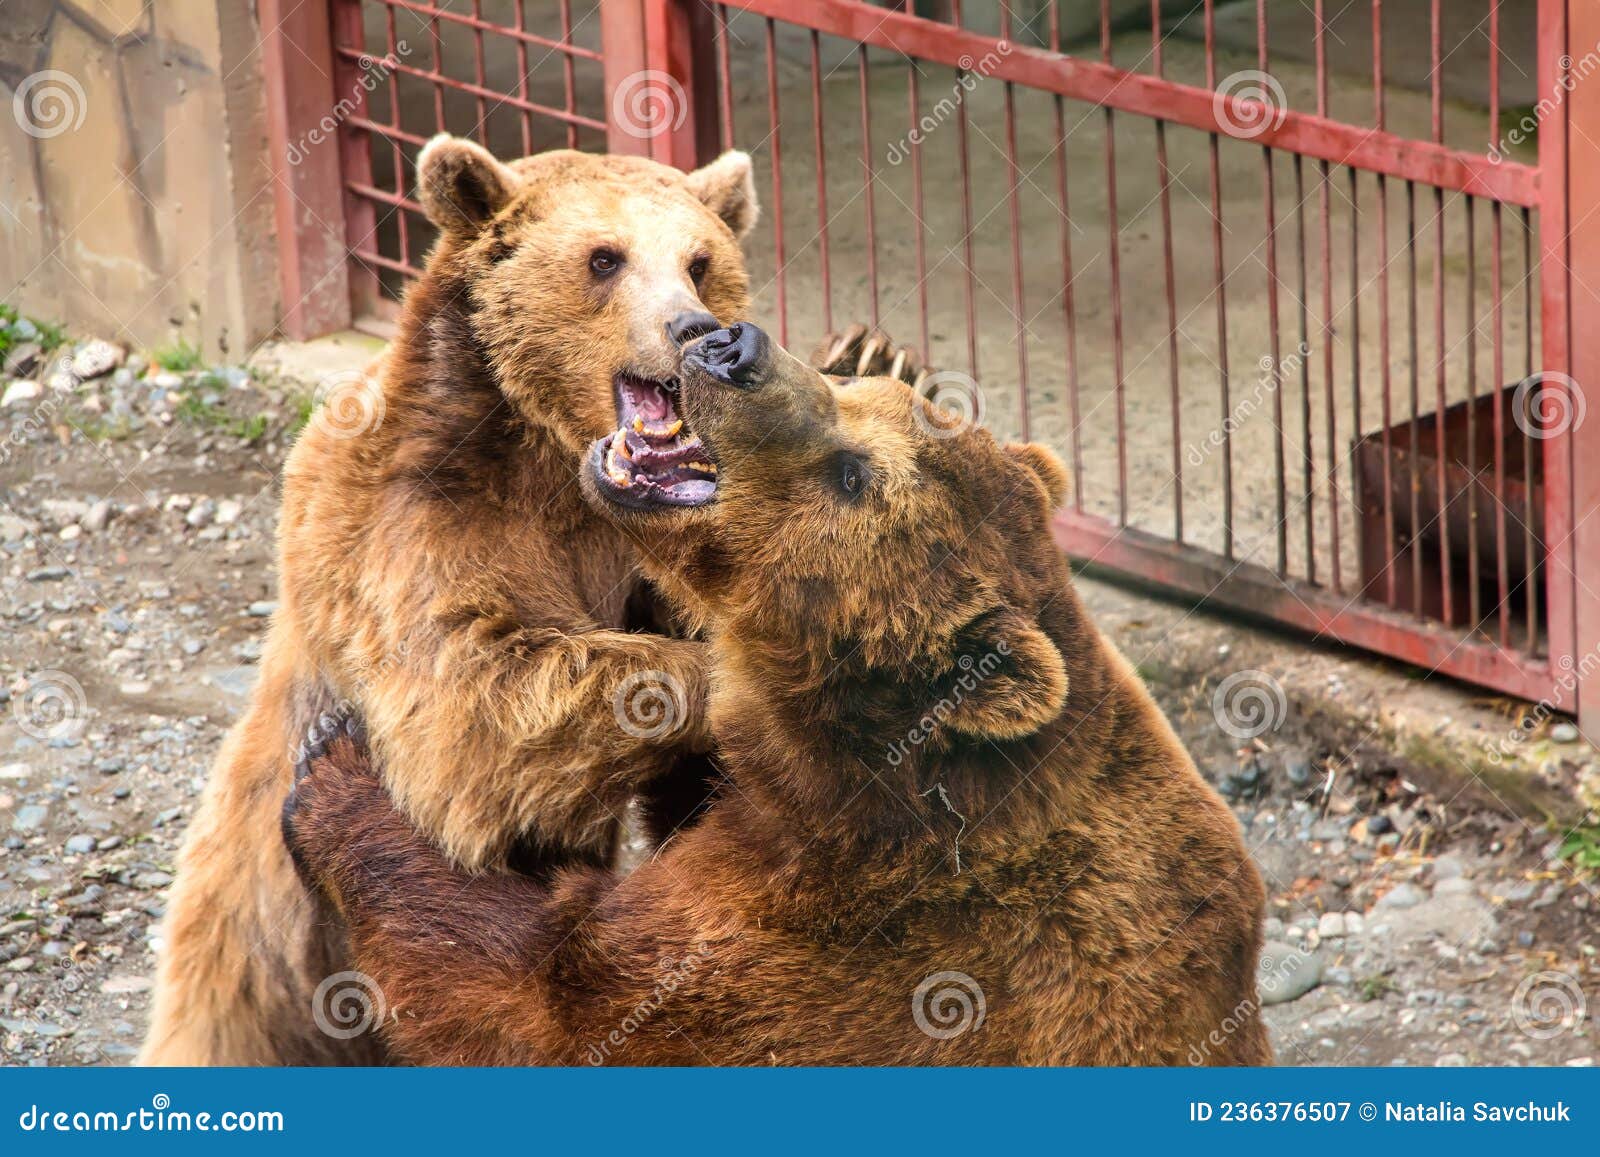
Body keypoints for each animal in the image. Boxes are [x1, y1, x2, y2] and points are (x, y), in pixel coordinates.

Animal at [281, 323, 1273, 1066]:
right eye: (859, 398)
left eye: (853, 475)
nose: (733, 347)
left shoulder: (855, 943)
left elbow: (551, 1001)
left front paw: (333, 768)